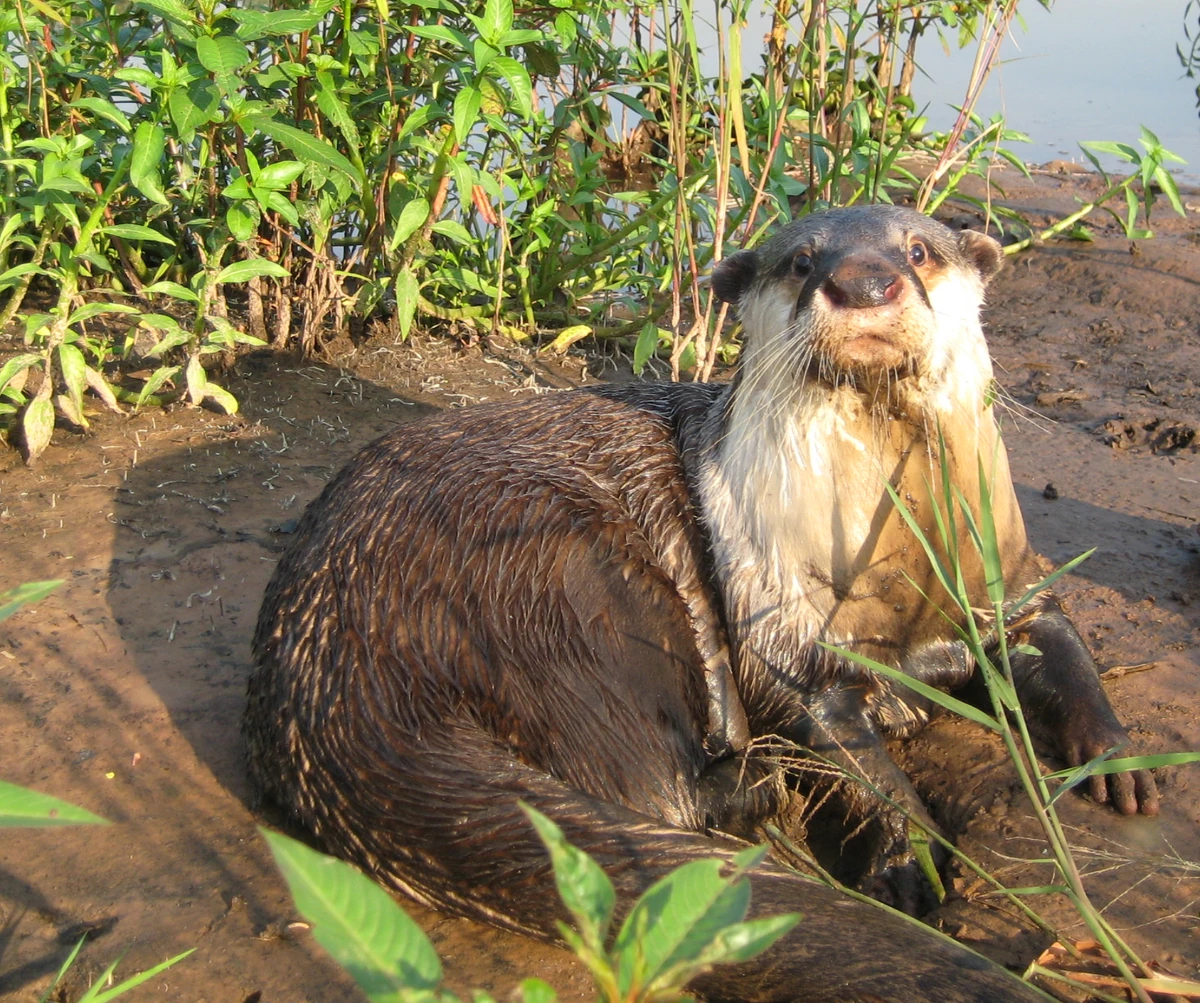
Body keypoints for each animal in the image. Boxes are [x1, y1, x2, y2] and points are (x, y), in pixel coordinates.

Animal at [245, 205, 1157, 1003]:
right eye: (802, 260)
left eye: (920, 250)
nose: (863, 282)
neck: (899, 577)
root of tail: (336, 662)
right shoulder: (776, 624)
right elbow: (832, 732)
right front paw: (909, 853)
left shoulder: (1006, 575)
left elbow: (1056, 635)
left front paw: (1119, 758)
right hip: (579, 592)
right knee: (650, 788)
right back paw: (752, 779)